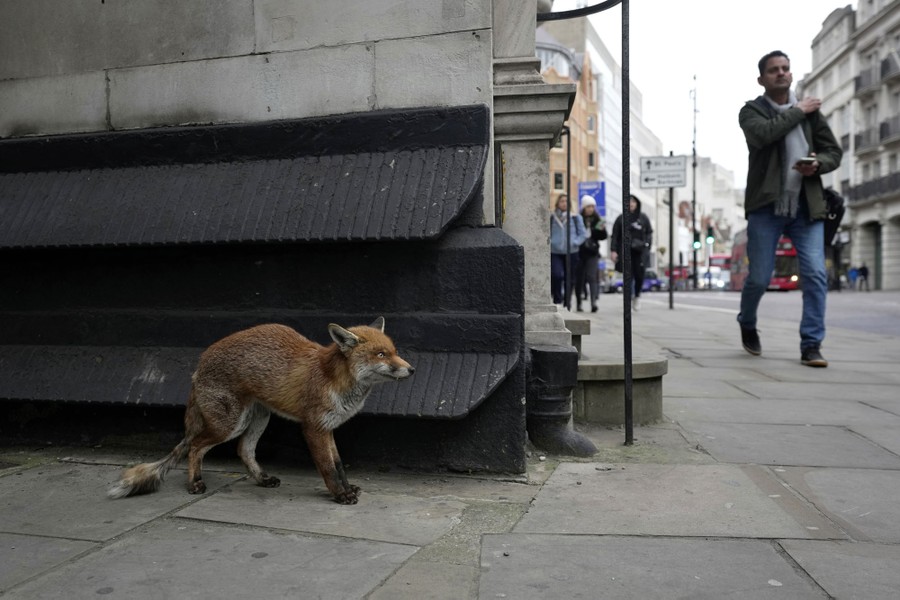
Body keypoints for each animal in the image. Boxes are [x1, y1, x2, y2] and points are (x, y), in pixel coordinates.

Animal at [107, 317, 414, 504]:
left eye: (395, 351)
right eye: (381, 355)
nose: (411, 370)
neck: (334, 379)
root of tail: (200, 362)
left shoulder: (328, 428)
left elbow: (338, 464)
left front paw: (347, 488)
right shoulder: (313, 427)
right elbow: (327, 467)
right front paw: (340, 496)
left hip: (257, 419)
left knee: (243, 450)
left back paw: (262, 479)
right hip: (229, 424)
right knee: (195, 447)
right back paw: (195, 483)